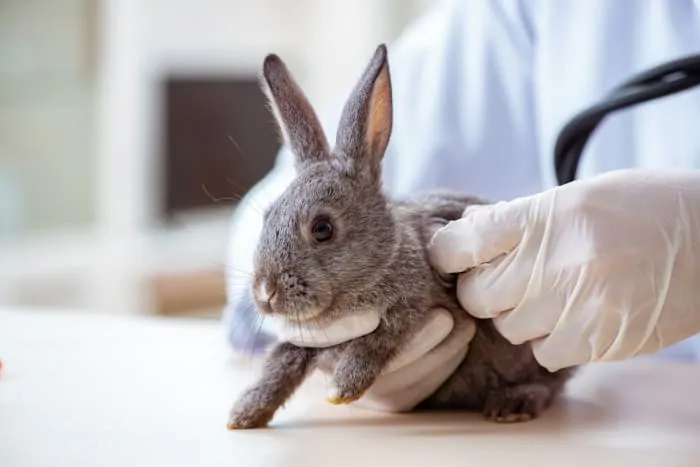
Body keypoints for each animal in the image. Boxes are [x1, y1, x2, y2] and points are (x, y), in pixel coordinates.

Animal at [227, 43, 576, 430]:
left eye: (322, 229)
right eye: (267, 215)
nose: (265, 293)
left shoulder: (417, 308)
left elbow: (379, 340)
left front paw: (343, 387)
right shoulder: (303, 341)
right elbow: (280, 365)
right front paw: (245, 414)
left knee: (551, 381)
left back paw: (513, 402)